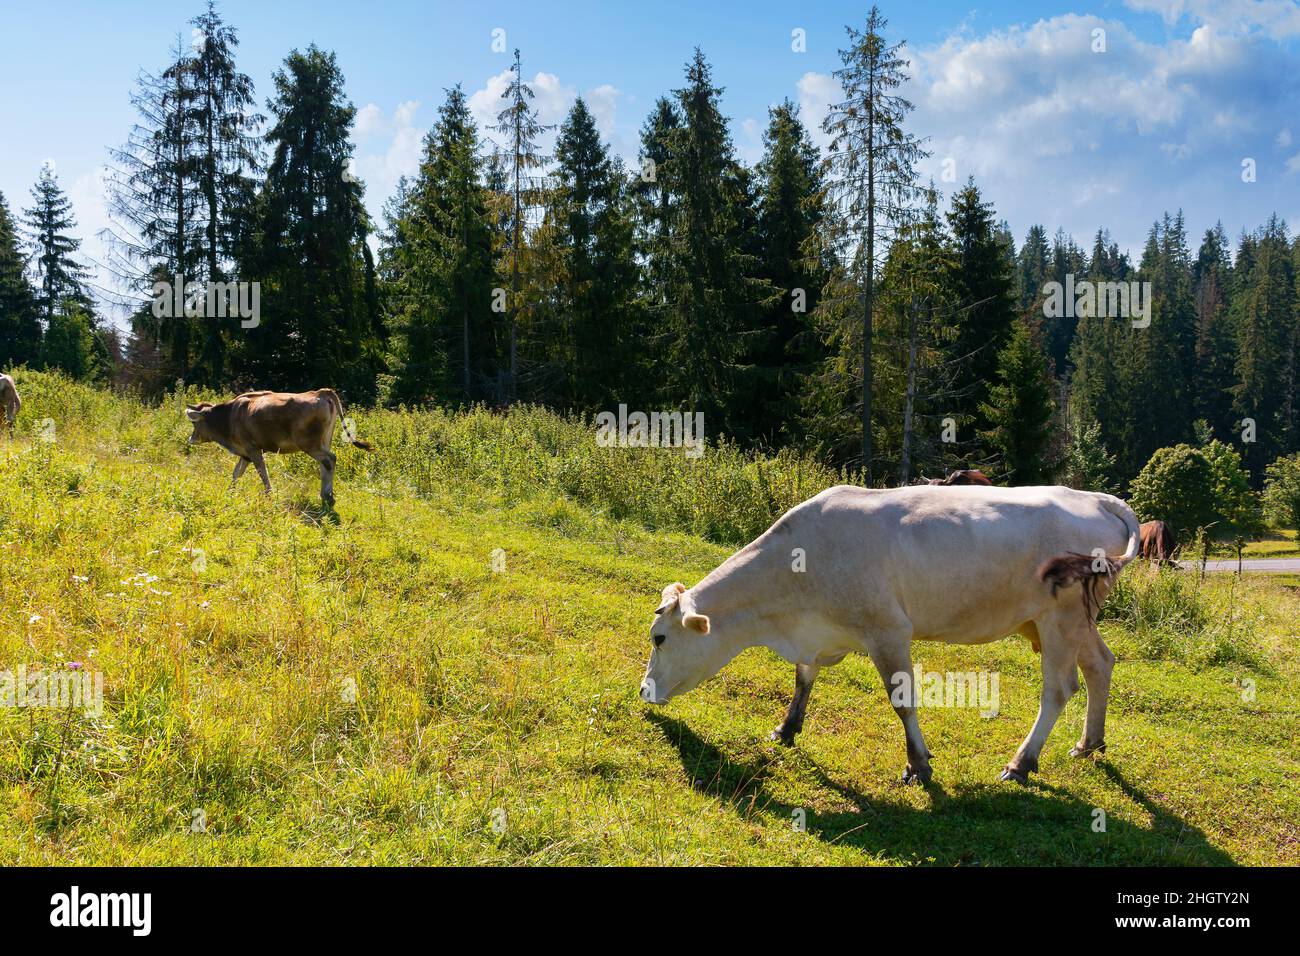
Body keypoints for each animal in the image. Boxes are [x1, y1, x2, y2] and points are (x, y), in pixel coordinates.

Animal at [184, 389, 373, 507]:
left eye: (194, 423)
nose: (191, 439)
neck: (230, 416)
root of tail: (320, 392)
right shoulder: (245, 453)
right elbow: (236, 473)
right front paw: (230, 491)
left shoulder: (252, 449)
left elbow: (262, 472)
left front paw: (269, 494)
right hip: (324, 441)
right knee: (326, 464)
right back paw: (326, 496)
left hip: (310, 444)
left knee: (329, 459)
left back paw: (328, 496)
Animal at [640, 484, 1140, 786]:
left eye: (659, 638)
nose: (643, 691)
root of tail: (1098, 499)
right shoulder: (818, 632)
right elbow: (803, 679)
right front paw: (786, 728)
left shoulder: (888, 631)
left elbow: (903, 701)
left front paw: (918, 764)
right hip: (1072, 619)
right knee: (1100, 664)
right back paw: (1090, 743)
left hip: (1060, 617)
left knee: (1058, 688)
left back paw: (1021, 762)